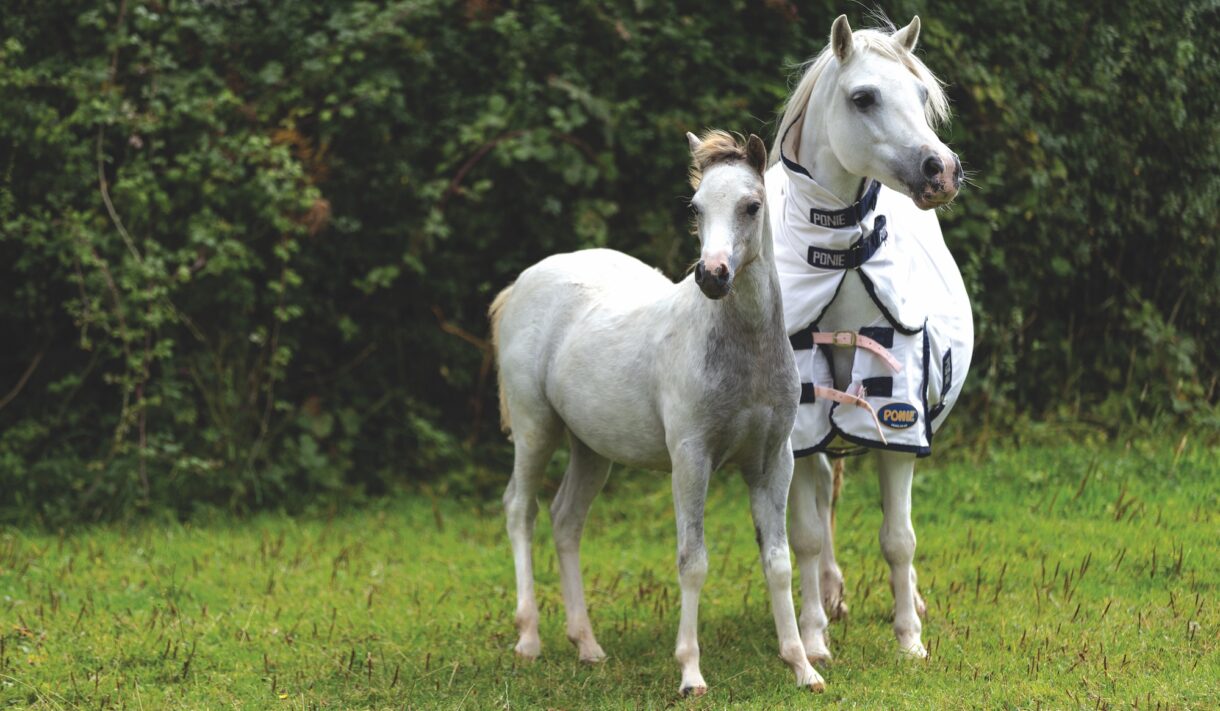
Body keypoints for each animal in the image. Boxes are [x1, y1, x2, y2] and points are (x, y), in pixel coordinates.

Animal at [489, 131, 825, 695]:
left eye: (751, 205)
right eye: (696, 207)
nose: (712, 276)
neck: (745, 352)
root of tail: (523, 283)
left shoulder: (773, 462)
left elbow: (778, 561)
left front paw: (803, 665)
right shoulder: (691, 459)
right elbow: (693, 562)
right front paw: (690, 673)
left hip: (591, 448)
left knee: (566, 520)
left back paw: (587, 645)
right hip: (536, 429)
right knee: (520, 510)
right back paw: (529, 638)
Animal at [766, 15, 974, 663]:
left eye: (922, 97)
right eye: (863, 98)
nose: (942, 170)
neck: (840, 263)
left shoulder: (897, 421)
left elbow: (898, 537)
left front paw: (909, 638)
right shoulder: (805, 425)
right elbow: (808, 536)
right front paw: (813, 637)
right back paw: (830, 596)